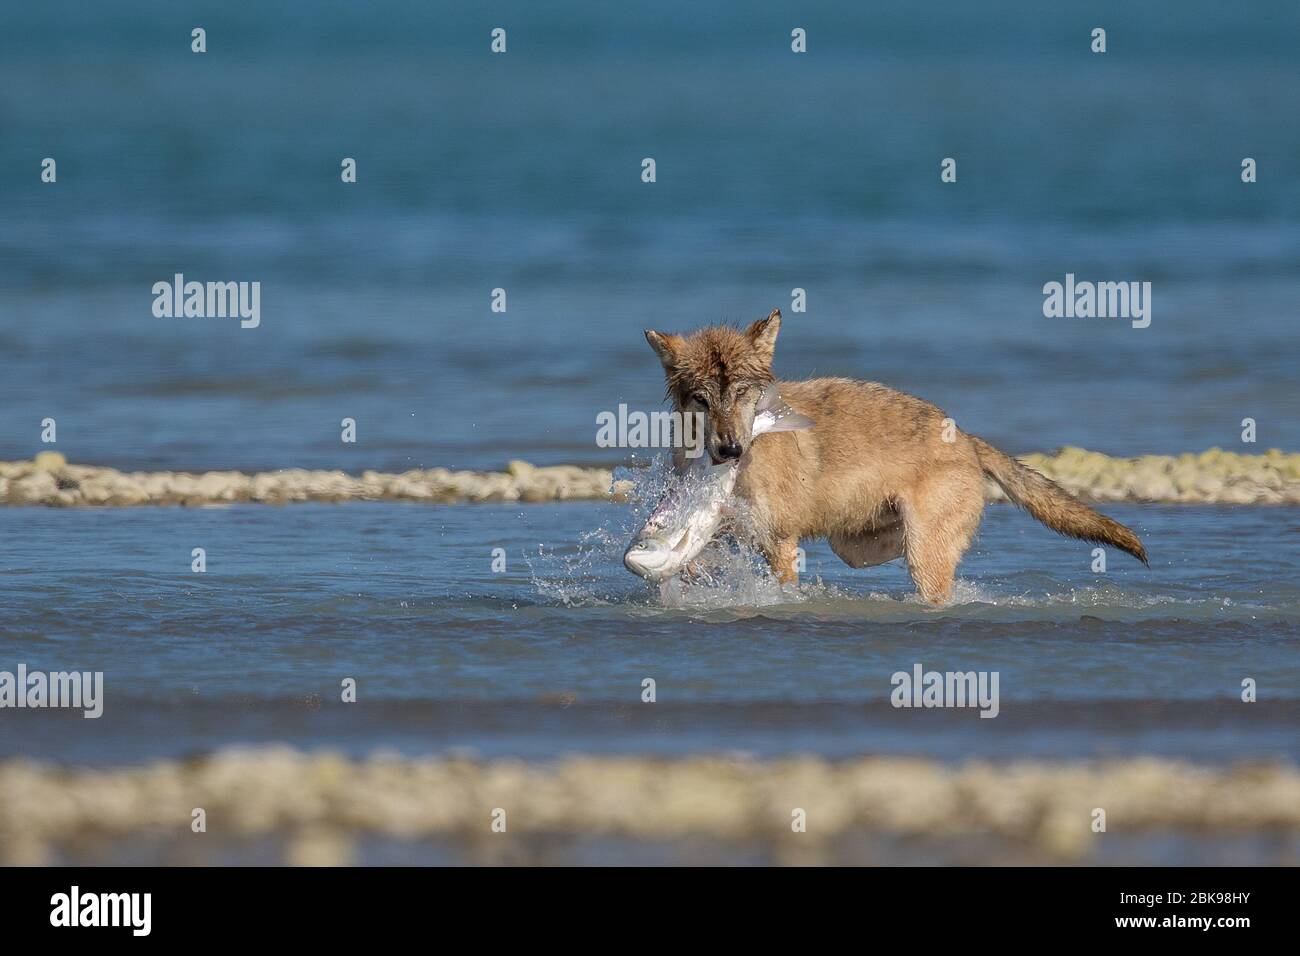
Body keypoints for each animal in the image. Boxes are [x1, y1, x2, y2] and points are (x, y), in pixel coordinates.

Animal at [643, 309, 1147, 603]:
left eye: (743, 394)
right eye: (703, 400)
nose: (730, 449)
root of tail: (966, 436)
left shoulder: (778, 543)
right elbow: (691, 562)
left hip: (921, 556)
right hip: (855, 546)